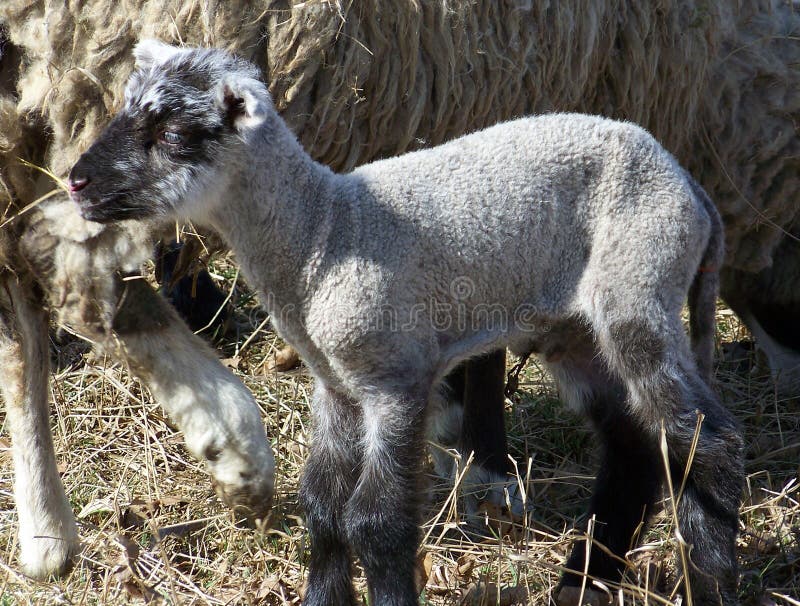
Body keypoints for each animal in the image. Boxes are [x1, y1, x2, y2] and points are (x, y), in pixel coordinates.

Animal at [68, 41, 745, 606]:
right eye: (124, 107)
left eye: (173, 131)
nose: (77, 180)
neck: (323, 235)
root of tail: (690, 187)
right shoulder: (336, 386)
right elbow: (322, 505)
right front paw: (322, 598)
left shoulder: (395, 375)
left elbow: (377, 521)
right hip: (575, 328)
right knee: (635, 449)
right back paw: (582, 584)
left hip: (639, 284)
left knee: (706, 442)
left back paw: (709, 582)